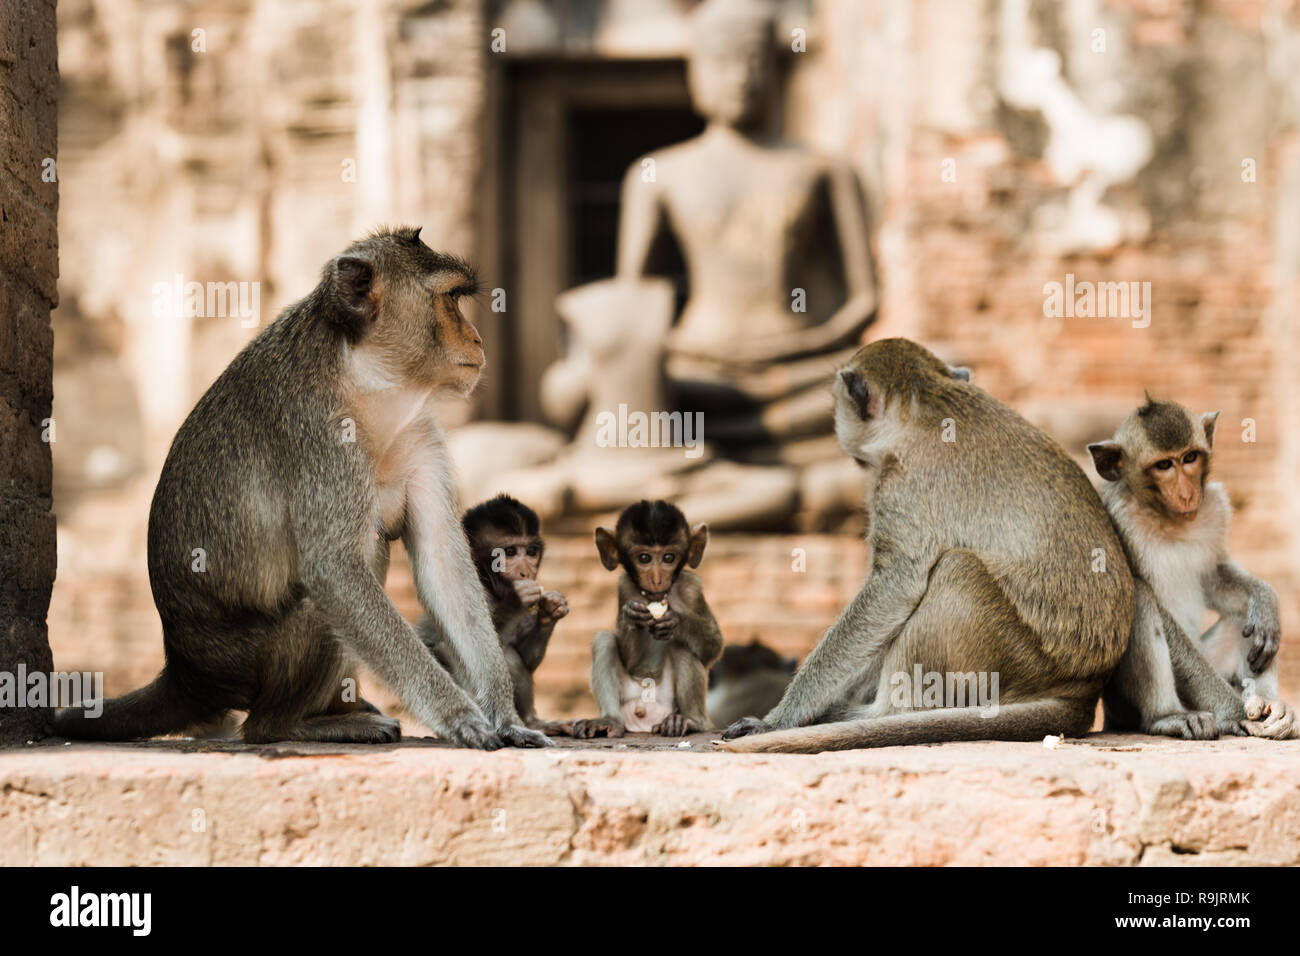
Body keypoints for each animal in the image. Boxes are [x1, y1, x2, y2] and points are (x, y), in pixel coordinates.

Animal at [53, 227, 551, 750]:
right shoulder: (320, 432)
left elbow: (445, 565)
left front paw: (506, 717)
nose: (477, 338)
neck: (366, 382)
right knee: (319, 607)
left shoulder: (420, 434)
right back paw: (294, 723)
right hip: (244, 662)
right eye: (451, 300)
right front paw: (460, 715)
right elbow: (335, 570)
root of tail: (186, 671)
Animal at [419, 493, 572, 735]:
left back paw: (531, 722)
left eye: (531, 552)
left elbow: (526, 657)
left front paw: (551, 610)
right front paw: (515, 599)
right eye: (509, 552)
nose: (526, 572)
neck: (491, 587)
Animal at [570, 500, 724, 739]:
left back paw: (691, 721)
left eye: (669, 558)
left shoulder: (692, 589)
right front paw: (631, 617)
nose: (657, 579)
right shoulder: (625, 586)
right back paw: (609, 721)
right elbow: (630, 660)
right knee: (603, 639)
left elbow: (713, 648)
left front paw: (676, 622)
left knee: (682, 647)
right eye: (644, 558)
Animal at [718, 337, 1135, 753]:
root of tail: (1083, 687)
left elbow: (893, 589)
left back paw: (876, 714)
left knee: (957, 569)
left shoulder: (899, 484)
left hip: (1015, 658)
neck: (925, 398)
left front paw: (777, 719)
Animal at [1088, 396, 1296, 740]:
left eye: (1189, 458)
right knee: (1141, 598)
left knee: (1242, 617)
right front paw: (1233, 711)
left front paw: (1265, 599)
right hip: (1124, 705)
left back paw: (1272, 705)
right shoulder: (1117, 519)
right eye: (1163, 466)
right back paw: (1168, 717)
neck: (1168, 518)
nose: (1187, 494)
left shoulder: (1214, 507)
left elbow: (1214, 575)